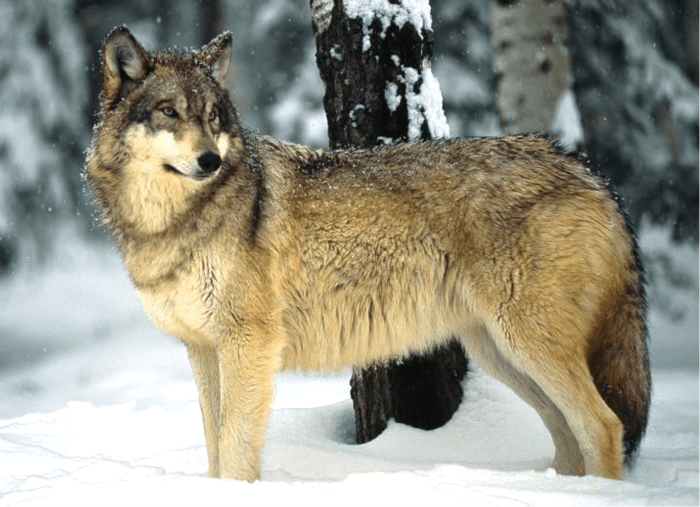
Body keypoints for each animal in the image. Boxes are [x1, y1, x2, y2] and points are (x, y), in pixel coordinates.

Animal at [85, 26, 650, 482]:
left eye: (212, 117)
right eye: (169, 113)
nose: (210, 160)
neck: (173, 224)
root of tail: (587, 172)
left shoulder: (248, 344)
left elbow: (236, 450)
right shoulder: (202, 350)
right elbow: (214, 446)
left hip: (527, 343)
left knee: (604, 424)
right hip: (500, 352)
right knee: (568, 434)